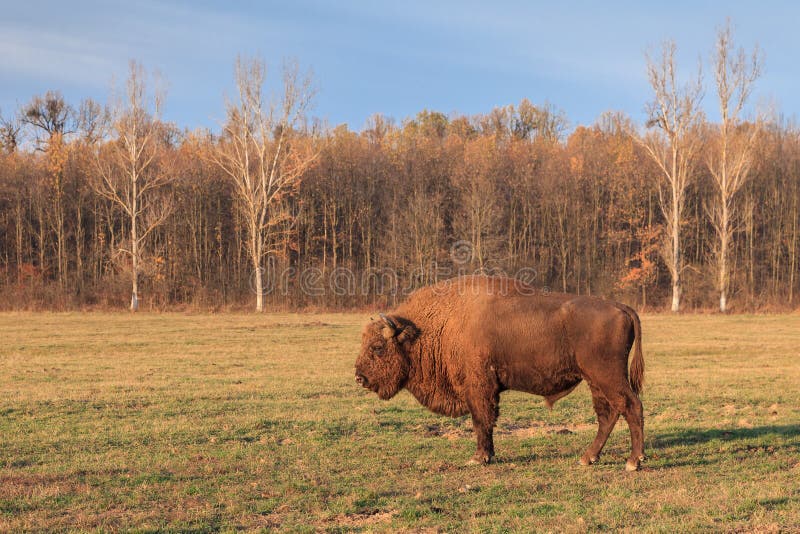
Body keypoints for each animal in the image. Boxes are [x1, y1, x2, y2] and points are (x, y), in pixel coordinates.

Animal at [355, 275, 645, 471]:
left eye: (378, 347)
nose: (359, 377)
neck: (438, 325)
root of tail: (621, 307)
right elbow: (486, 420)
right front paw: (487, 455)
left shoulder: (478, 387)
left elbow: (481, 420)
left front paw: (479, 458)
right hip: (595, 380)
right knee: (608, 414)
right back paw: (588, 458)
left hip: (607, 376)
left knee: (631, 406)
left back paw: (633, 462)